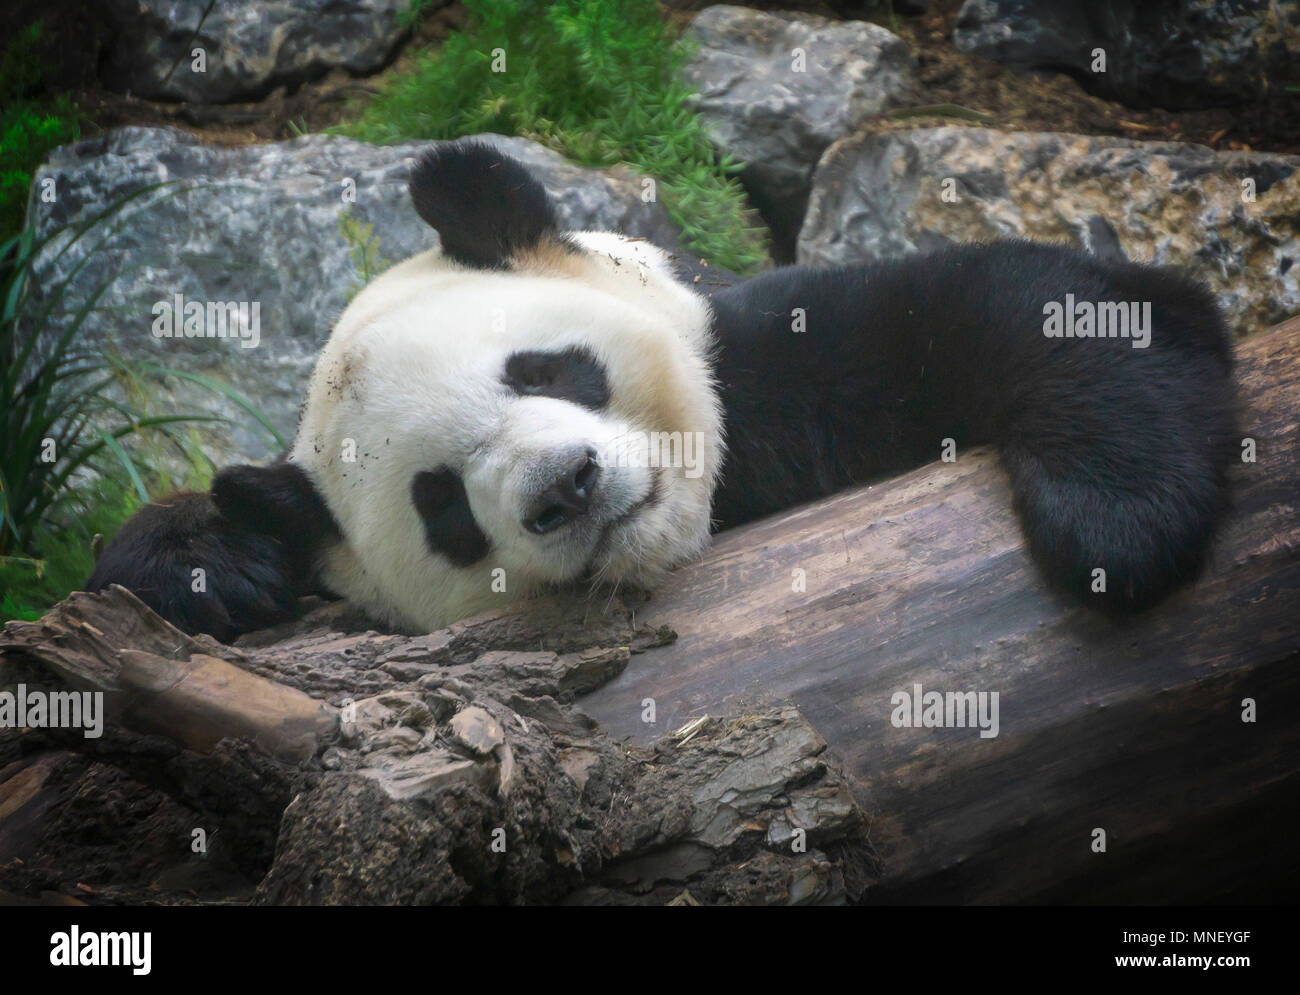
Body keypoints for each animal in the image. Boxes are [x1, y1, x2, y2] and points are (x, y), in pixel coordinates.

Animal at [86, 140, 1237, 642]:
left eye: (543, 369)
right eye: (441, 504)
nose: (565, 487)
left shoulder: (761, 358)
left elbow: (990, 307)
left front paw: (1114, 522)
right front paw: (209, 562)